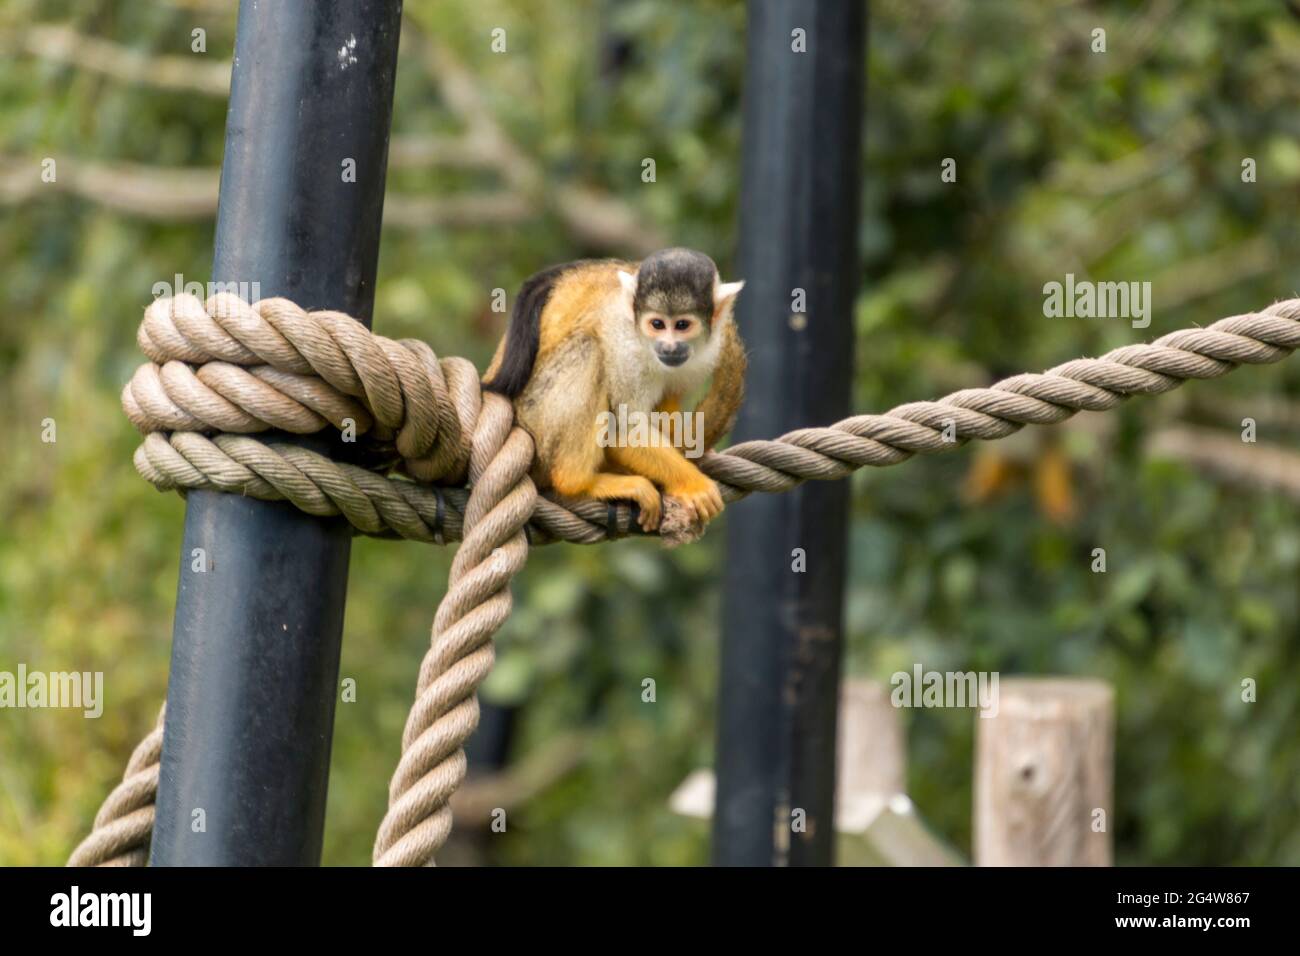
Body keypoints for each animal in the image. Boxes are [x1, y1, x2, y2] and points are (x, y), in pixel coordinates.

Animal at [483, 247, 746, 535]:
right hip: (536, 424)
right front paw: (693, 483)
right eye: (657, 324)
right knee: (589, 348)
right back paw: (578, 482)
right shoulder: (625, 348)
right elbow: (623, 430)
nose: (668, 347)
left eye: (682, 325)